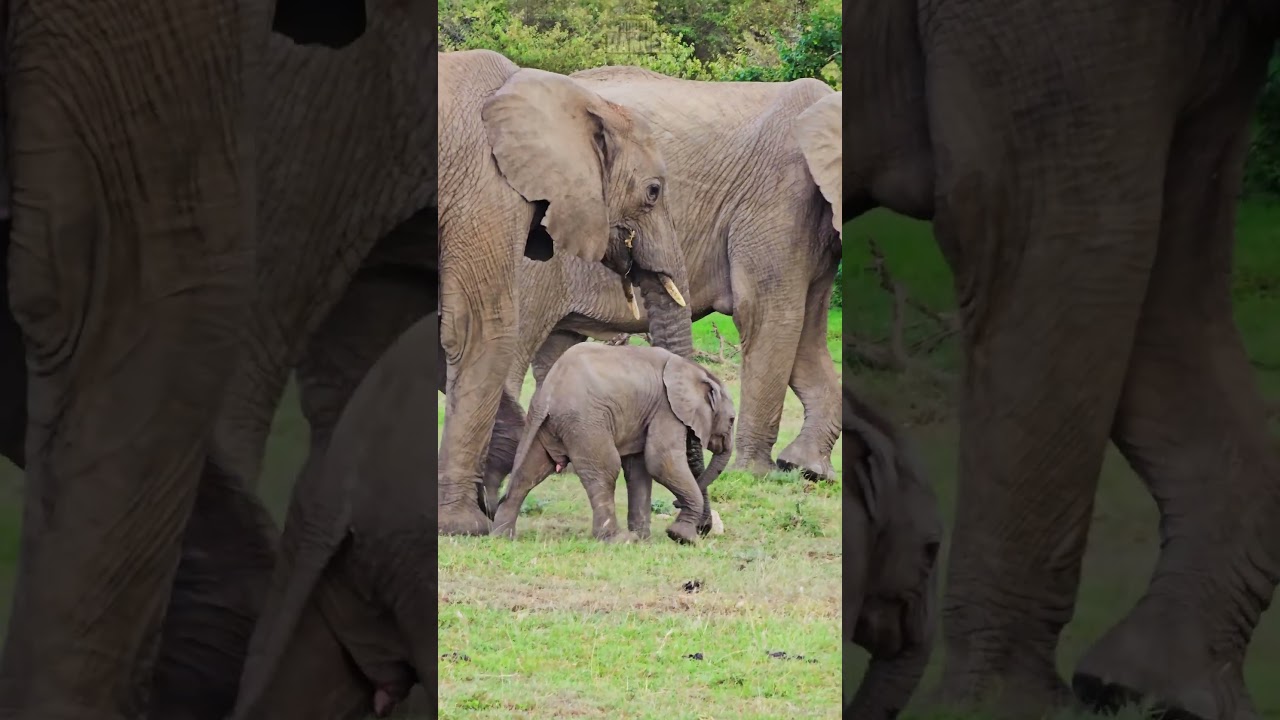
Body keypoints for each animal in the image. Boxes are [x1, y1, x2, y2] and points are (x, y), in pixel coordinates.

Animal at [493, 343, 735, 544]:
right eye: (732, 420)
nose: (702, 530)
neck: (696, 369)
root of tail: (550, 391)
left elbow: (639, 469)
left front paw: (645, 540)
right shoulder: (666, 409)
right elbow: (661, 462)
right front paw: (683, 538)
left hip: (544, 422)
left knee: (528, 472)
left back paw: (503, 537)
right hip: (586, 422)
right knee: (605, 471)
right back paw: (617, 539)